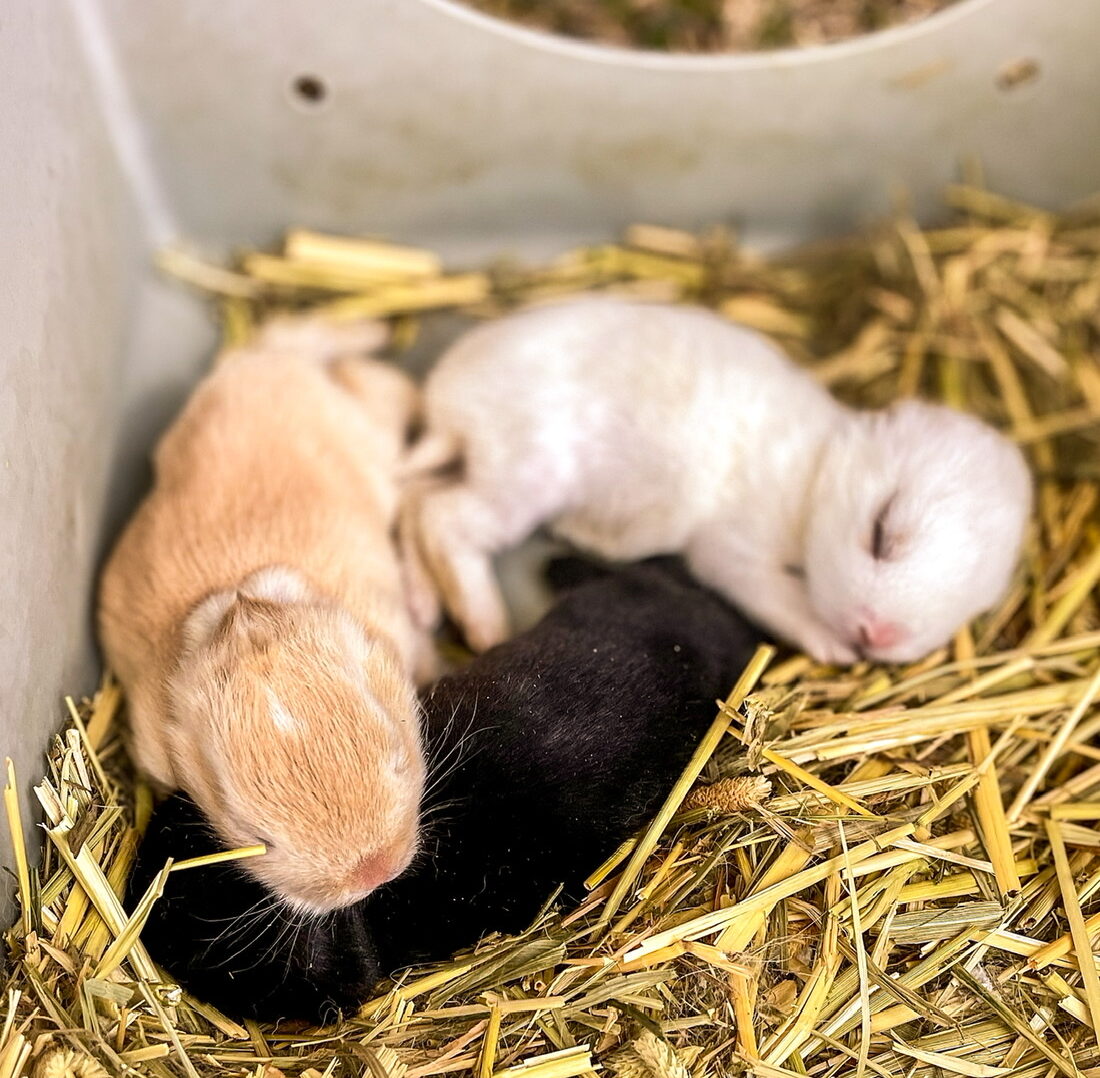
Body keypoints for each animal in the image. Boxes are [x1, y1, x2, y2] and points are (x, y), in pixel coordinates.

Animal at [400, 296, 1032, 664]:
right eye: (881, 534)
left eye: (976, 604)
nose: (879, 636)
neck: (815, 474)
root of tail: (449, 409)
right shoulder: (734, 549)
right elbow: (771, 593)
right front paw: (829, 643)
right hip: (527, 473)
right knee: (447, 520)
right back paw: (484, 623)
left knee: (416, 505)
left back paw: (425, 604)